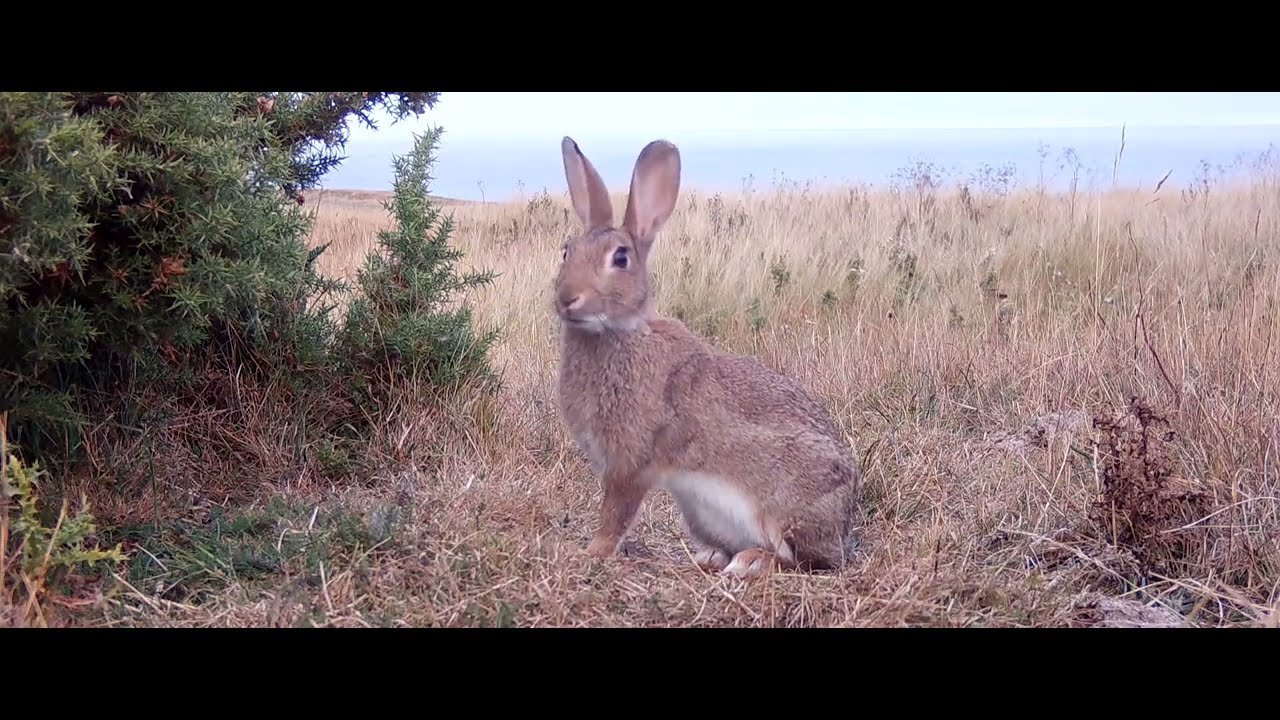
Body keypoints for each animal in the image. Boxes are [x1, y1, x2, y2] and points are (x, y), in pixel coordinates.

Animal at [553, 136, 863, 579]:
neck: (618, 333)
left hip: (782, 510)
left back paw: (750, 562)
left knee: (804, 562)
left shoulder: (631, 464)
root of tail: (844, 527)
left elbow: (615, 516)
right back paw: (712, 556)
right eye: (567, 251)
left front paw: (589, 554)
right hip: (697, 513)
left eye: (621, 258)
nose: (566, 299)